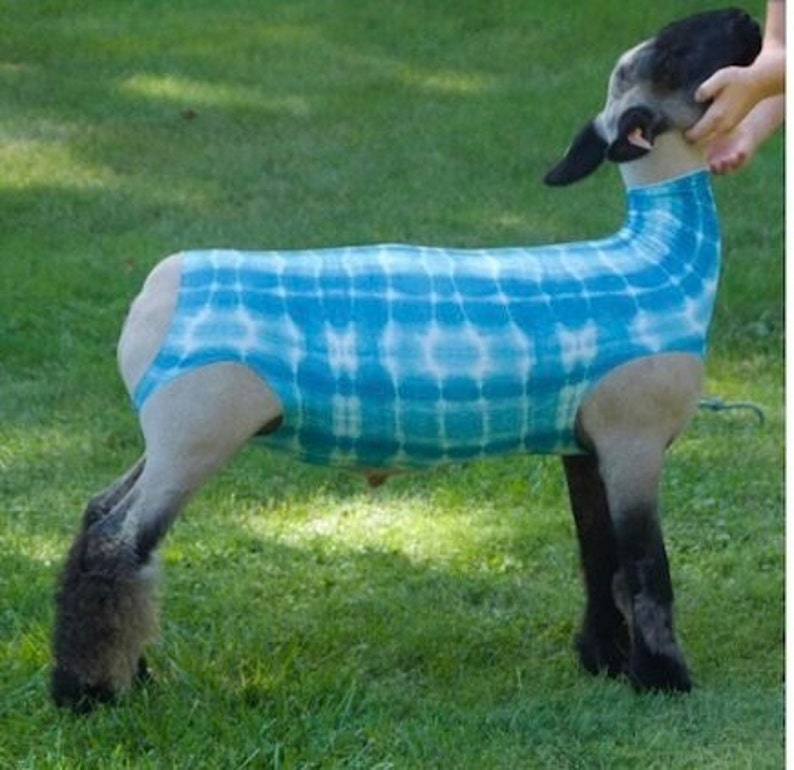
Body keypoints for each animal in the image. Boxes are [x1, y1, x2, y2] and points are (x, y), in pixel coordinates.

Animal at [52, 8, 762, 711]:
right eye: (670, 57)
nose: (747, 20)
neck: (660, 255)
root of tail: (155, 294)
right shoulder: (632, 436)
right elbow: (645, 565)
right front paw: (665, 679)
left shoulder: (584, 442)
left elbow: (599, 556)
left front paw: (606, 662)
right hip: (196, 432)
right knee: (119, 544)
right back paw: (87, 690)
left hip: (168, 432)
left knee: (99, 515)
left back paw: (128, 673)